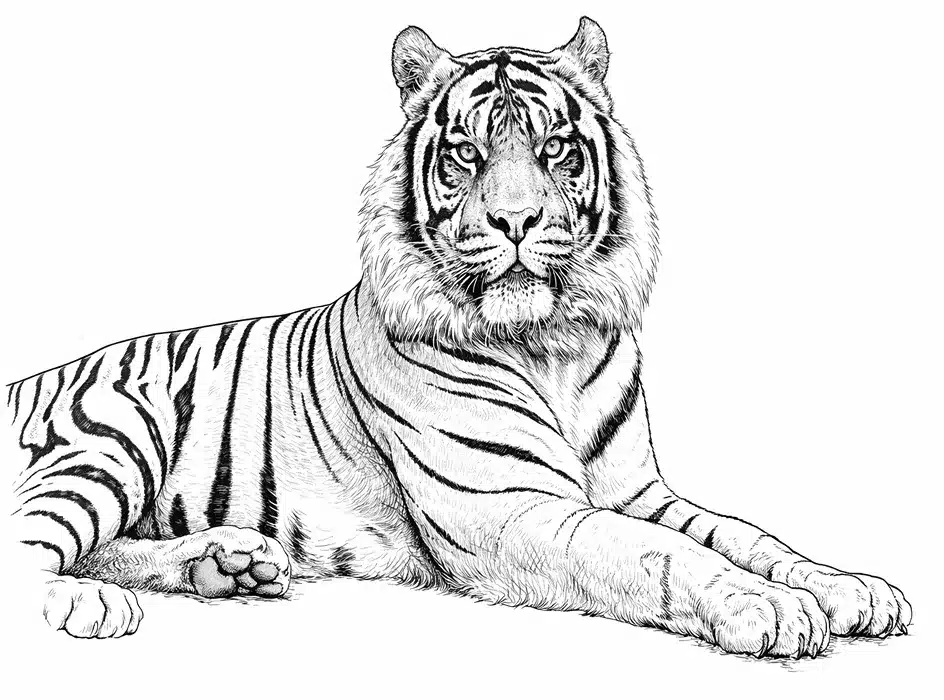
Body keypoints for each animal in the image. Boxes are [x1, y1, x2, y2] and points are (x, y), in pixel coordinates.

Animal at [6, 17, 911, 656]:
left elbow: (746, 534)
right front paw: (768, 607)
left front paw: (852, 589)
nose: (516, 220)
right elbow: (655, 553)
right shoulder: (508, 508)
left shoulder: (637, 490)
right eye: (467, 155)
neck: (554, 343)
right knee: (33, 547)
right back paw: (96, 603)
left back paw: (229, 564)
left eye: (555, 148)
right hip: (115, 431)